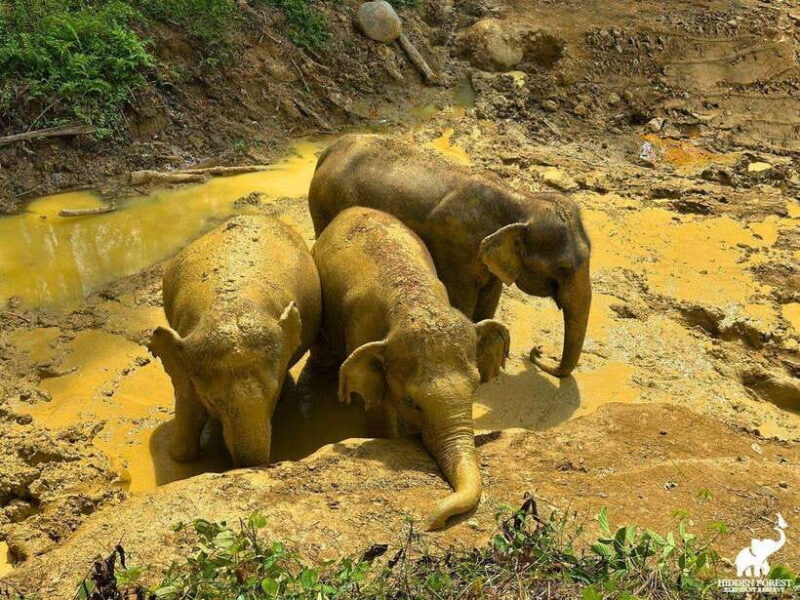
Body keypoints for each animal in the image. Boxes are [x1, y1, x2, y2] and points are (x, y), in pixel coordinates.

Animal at [308, 133, 591, 377]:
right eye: (563, 268)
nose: (538, 351)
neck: (521, 200)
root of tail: (329, 150)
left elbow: (491, 295)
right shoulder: (457, 250)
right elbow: (463, 299)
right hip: (324, 206)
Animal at [311, 207, 510, 529]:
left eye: (475, 387)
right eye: (411, 402)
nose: (432, 522)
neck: (412, 300)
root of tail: (351, 210)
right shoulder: (361, 330)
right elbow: (378, 409)